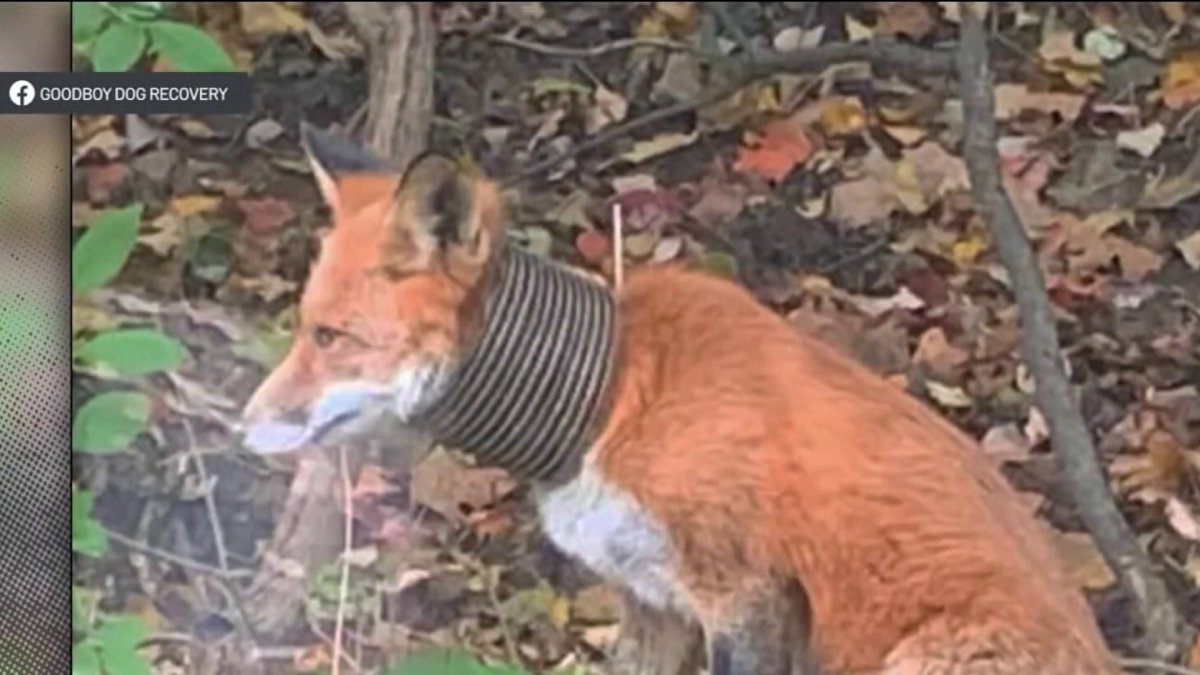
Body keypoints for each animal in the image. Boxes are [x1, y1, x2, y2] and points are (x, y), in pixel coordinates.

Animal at [241, 123, 1122, 675]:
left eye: (330, 336)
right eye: (305, 326)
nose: (242, 426)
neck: (609, 402)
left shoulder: (749, 599)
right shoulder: (650, 602)